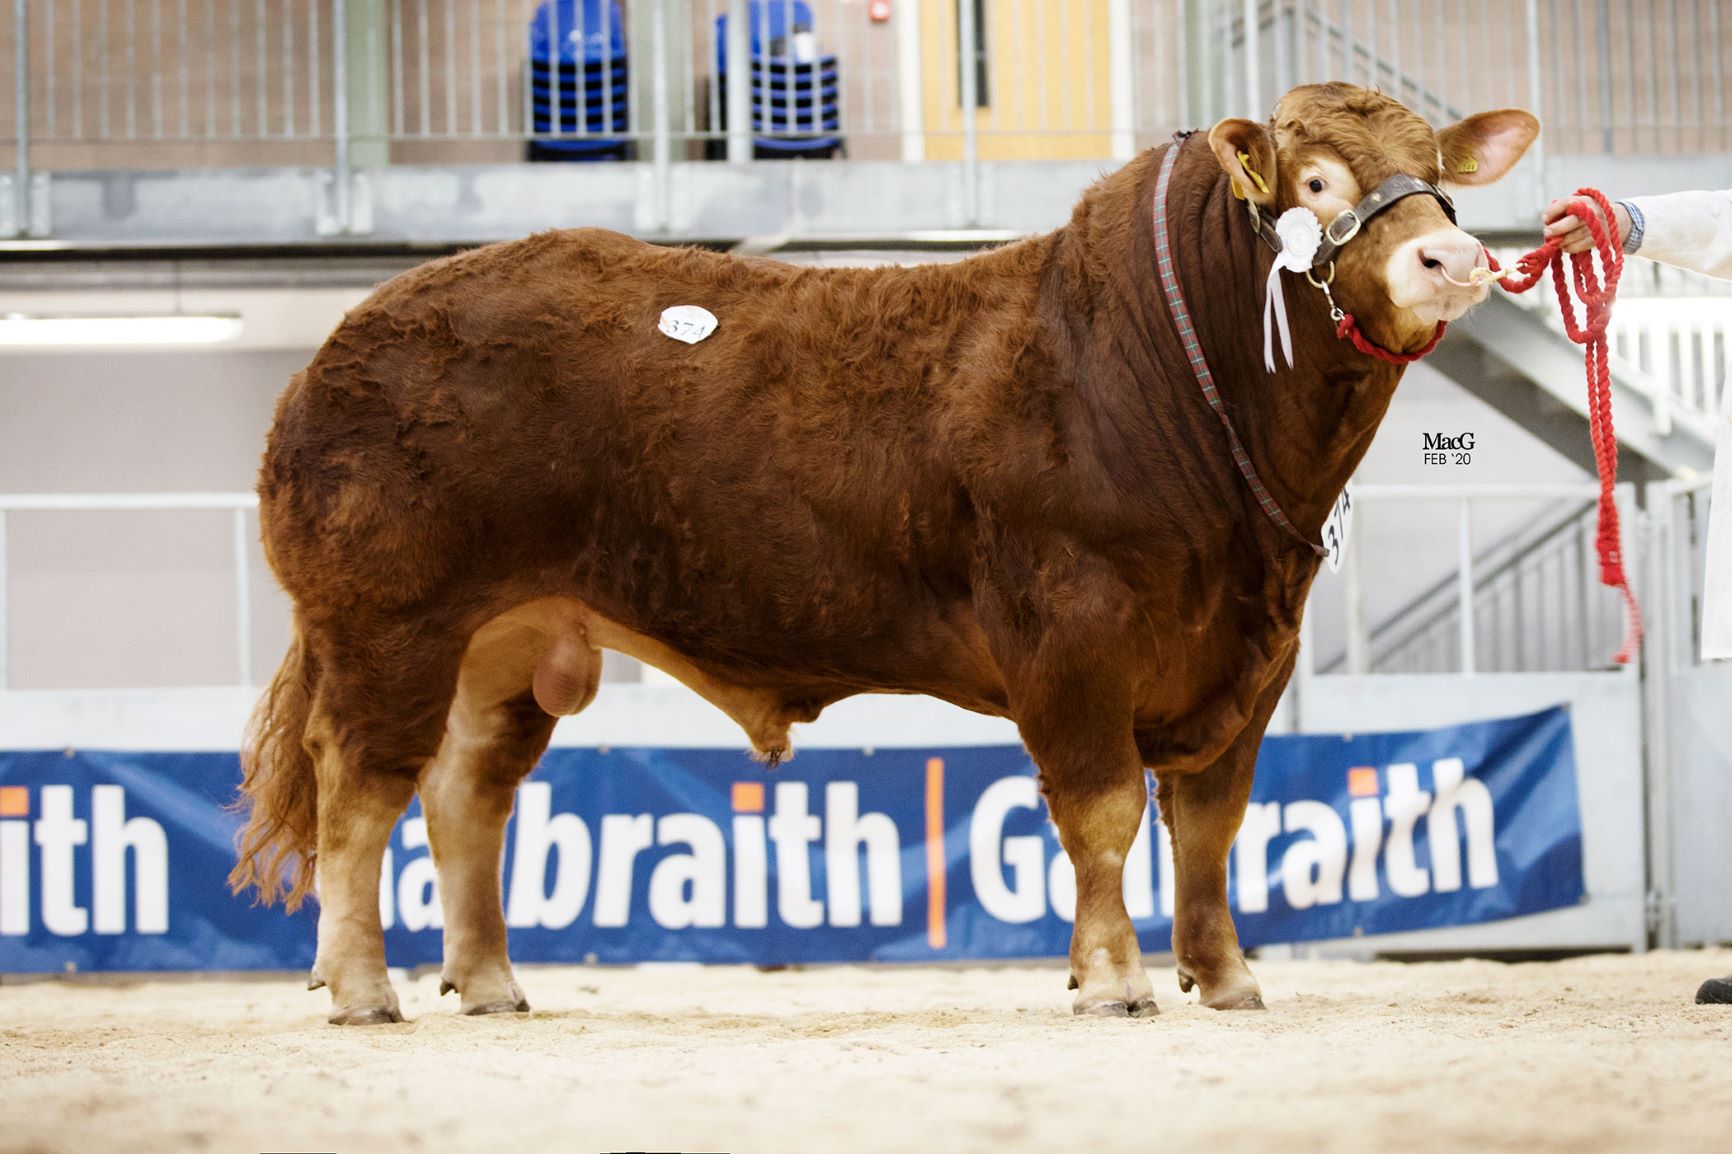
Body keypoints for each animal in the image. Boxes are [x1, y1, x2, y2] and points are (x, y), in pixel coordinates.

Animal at [231, 83, 1538, 1025]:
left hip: (507, 643)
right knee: (362, 790)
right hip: (386, 622)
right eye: (1315, 180)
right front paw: (1112, 976)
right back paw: (364, 988)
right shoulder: (1074, 635)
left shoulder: (1250, 657)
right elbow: (1105, 810)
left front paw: (1223, 979)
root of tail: (347, 341)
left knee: (467, 794)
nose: (1452, 260)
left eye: (1437, 177)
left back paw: (492, 982)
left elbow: (1212, 825)